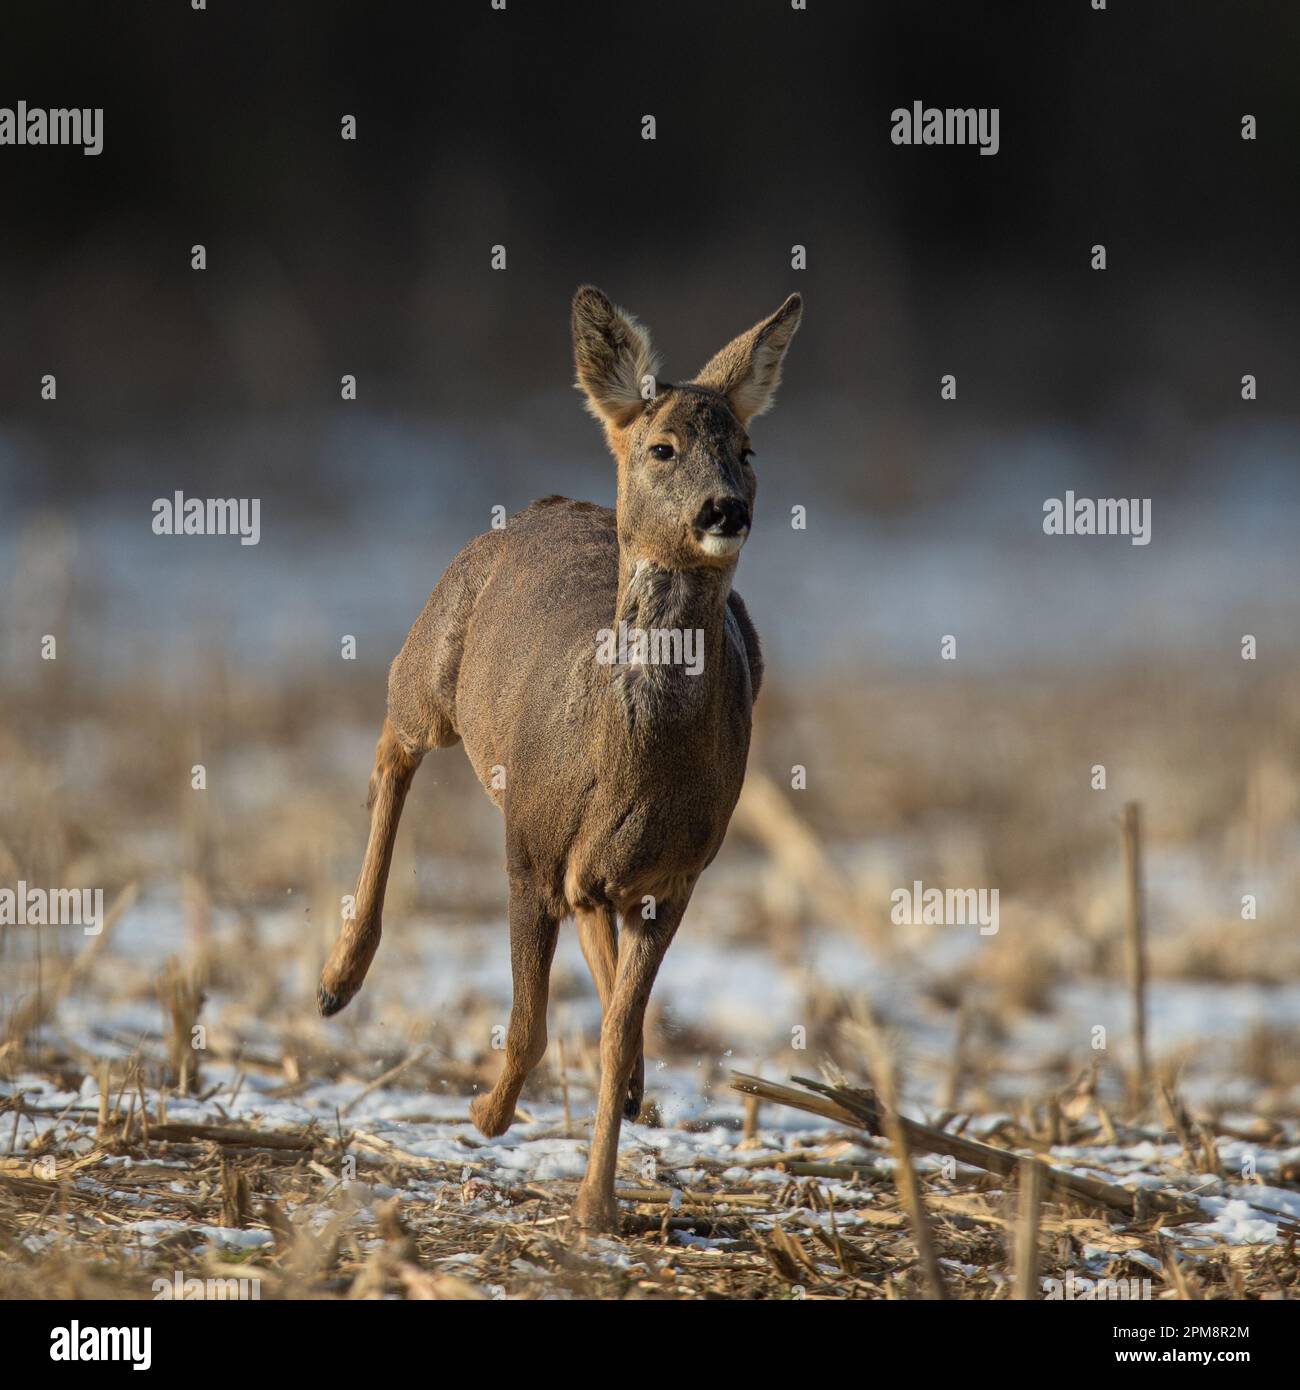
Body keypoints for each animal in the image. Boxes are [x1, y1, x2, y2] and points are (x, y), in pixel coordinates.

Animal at [317, 285, 802, 1233]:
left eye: (747, 448)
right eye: (663, 447)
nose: (725, 509)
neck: (630, 763)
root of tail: (546, 503)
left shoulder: (678, 876)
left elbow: (611, 1035)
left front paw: (597, 1204)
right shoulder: (527, 842)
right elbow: (531, 1021)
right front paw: (485, 1114)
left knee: (597, 932)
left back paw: (640, 1084)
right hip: (435, 658)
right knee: (393, 746)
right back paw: (338, 976)